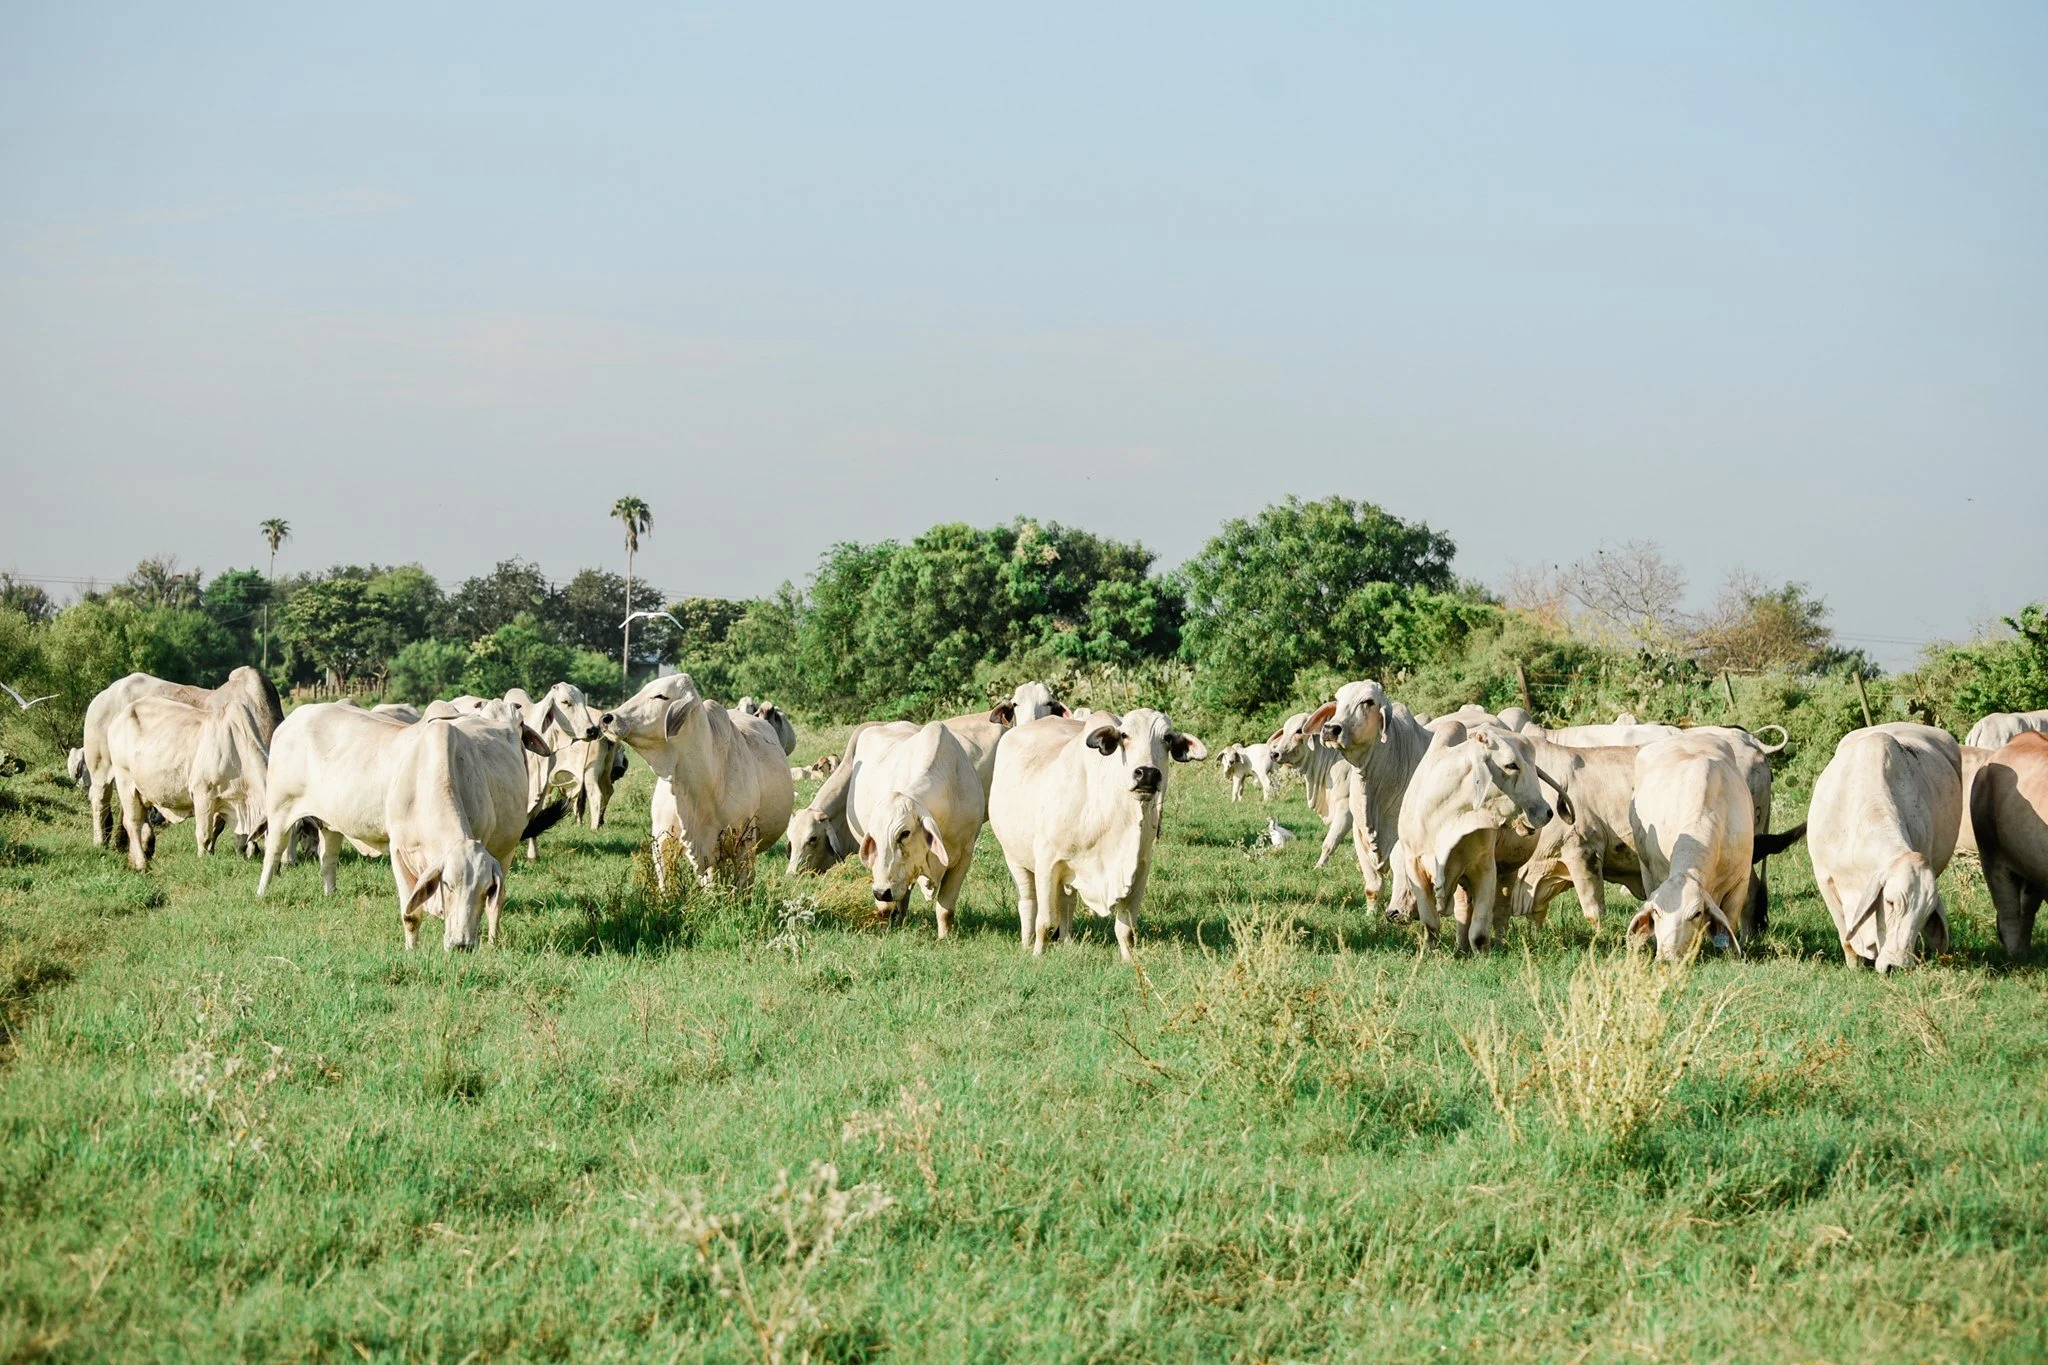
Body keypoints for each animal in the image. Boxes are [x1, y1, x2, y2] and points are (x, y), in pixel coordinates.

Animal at [104, 693, 271, 870]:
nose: (284, 866)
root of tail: (122, 714)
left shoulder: (223, 801)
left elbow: (217, 830)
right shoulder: (203, 794)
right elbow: (204, 834)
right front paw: (203, 860)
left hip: (142, 792)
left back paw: (134, 859)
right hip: (125, 781)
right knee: (132, 823)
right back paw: (142, 864)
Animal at [851, 722, 987, 935]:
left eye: (904, 833)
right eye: (874, 837)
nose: (881, 892)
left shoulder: (965, 855)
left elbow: (946, 908)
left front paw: (945, 936)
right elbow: (886, 905)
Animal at [988, 709, 1207, 961]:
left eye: (1168, 738)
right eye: (1124, 735)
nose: (1147, 774)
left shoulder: (1138, 869)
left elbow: (1126, 929)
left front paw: (1128, 960)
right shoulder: (1046, 862)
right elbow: (1045, 921)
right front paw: (1037, 954)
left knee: (1067, 903)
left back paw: (1067, 942)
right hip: (1014, 858)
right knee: (1027, 902)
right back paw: (1026, 943)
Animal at [1392, 722, 1567, 954]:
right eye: (1511, 765)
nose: (1547, 812)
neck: (1446, 820)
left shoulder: (1484, 868)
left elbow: (1480, 932)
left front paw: (1484, 954)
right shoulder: (1416, 865)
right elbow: (1430, 924)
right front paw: (1429, 952)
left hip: (1508, 870)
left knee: (1500, 910)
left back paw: (1499, 942)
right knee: (1464, 909)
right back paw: (1460, 948)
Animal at [1807, 723, 1963, 972]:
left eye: (1926, 913)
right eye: (1890, 902)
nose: (1896, 966)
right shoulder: (1825, 879)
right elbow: (1846, 937)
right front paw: (1854, 966)